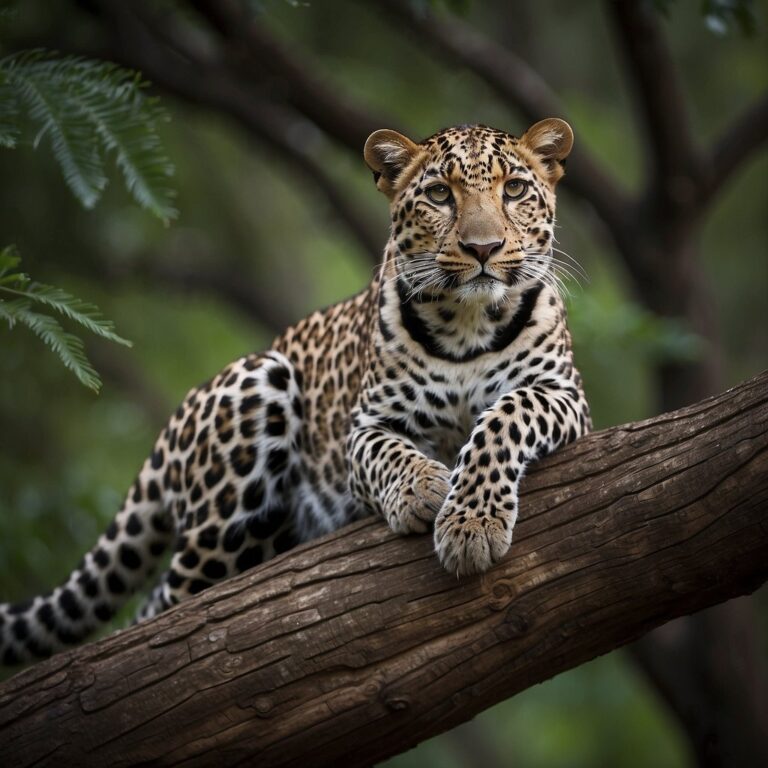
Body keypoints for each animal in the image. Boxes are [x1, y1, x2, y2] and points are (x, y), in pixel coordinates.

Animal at [0, 118, 591, 665]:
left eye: (514, 189)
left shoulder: (562, 394)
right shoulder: (366, 425)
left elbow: (504, 415)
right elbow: (390, 453)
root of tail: (169, 430)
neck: (467, 322)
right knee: (163, 611)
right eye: (440, 195)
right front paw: (423, 489)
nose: (483, 248)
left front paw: (472, 524)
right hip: (258, 397)